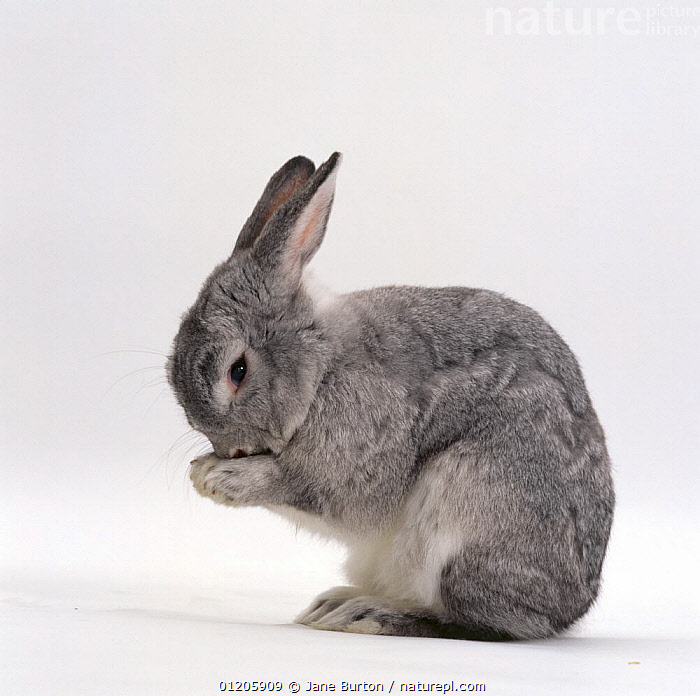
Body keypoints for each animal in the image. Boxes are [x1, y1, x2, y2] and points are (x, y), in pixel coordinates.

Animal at [167, 152, 615, 640]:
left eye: (238, 371)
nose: (231, 449)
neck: (323, 365)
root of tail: (568, 611)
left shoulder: (353, 463)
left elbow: (305, 489)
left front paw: (216, 478)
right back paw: (332, 605)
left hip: (468, 522)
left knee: (475, 622)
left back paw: (369, 614)